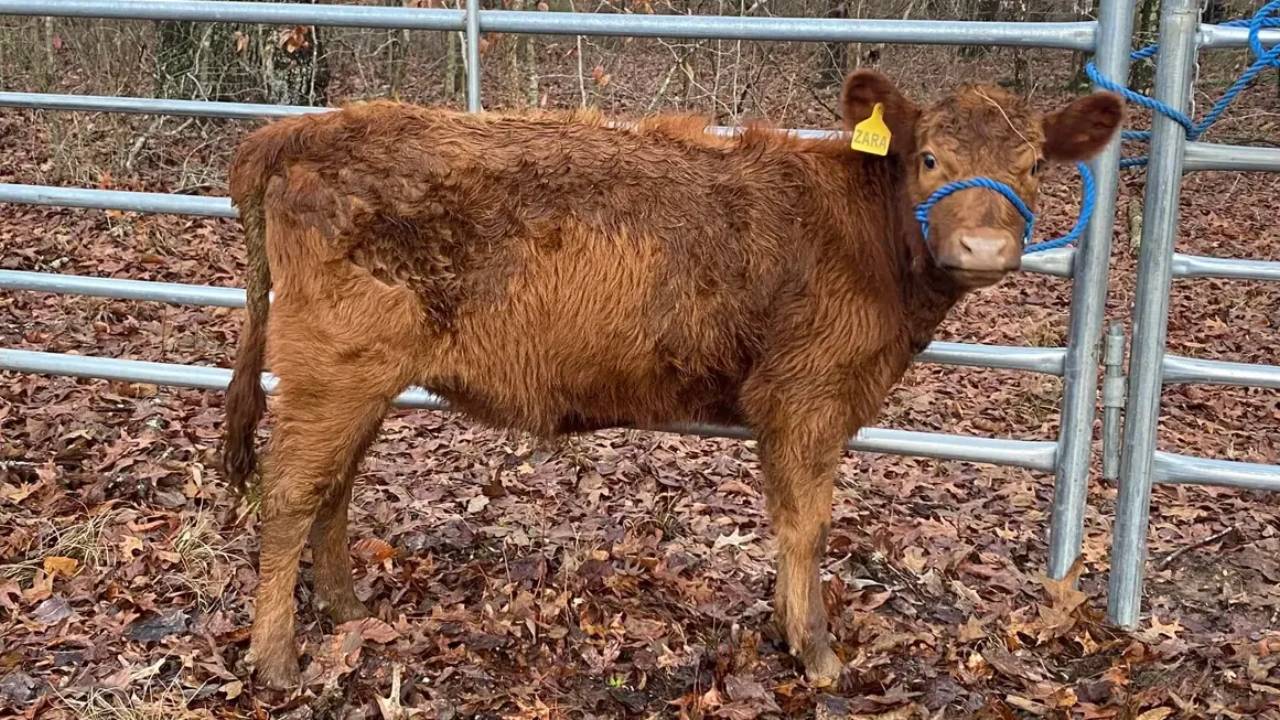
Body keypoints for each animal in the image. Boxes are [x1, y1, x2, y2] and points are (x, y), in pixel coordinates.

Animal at [219, 69, 1123, 689]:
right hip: (333, 366)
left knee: (334, 487)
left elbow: (791, 524)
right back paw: (276, 657)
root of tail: (305, 132)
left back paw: (346, 609)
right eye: (930, 158)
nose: (984, 250)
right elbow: (808, 526)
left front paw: (789, 628)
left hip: (359, 378)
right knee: (290, 493)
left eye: (1035, 165)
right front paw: (817, 652)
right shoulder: (805, 397)